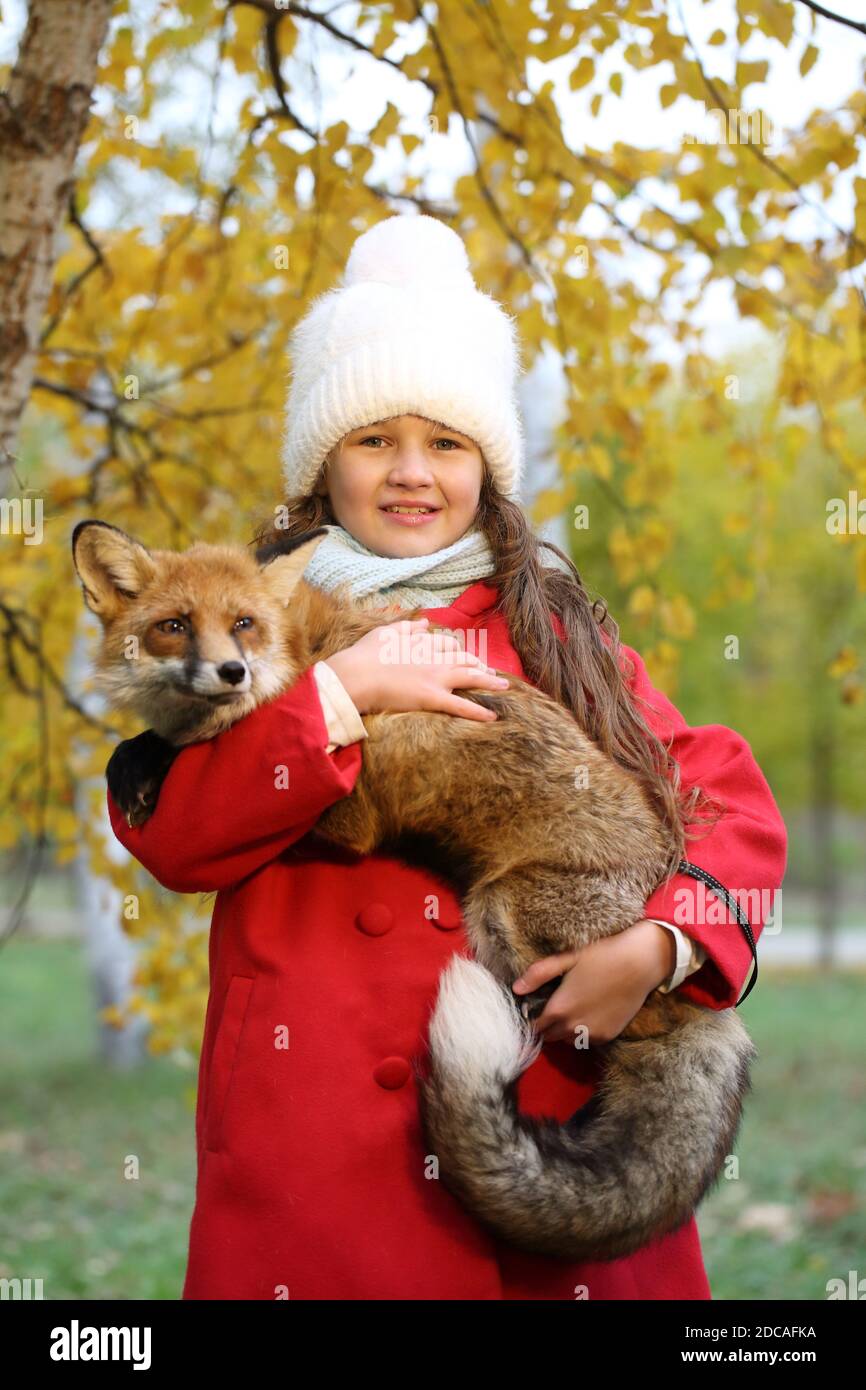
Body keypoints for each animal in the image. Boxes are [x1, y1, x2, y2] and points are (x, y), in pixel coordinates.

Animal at [71, 517, 756, 1263]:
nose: (232, 672)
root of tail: (710, 1013)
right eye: (173, 626)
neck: (307, 653)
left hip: (508, 911)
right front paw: (137, 761)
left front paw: (149, 759)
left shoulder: (350, 812)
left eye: (243, 624)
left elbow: (203, 748)